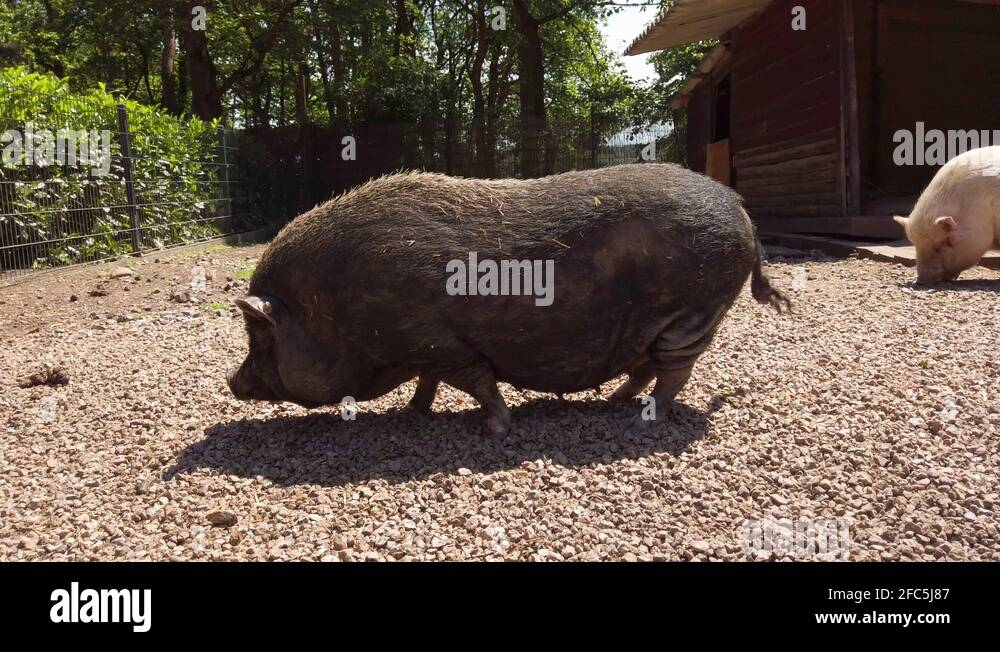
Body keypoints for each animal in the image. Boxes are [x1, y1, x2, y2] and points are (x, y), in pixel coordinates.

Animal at [227, 164, 789, 437]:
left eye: (260, 339)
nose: (232, 382)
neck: (331, 307)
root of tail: (742, 211)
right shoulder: (427, 349)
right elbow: (431, 384)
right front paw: (414, 414)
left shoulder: (439, 343)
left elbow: (475, 381)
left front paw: (496, 432)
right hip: (666, 322)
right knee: (647, 366)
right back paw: (615, 402)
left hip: (694, 311)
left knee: (674, 372)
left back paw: (638, 422)